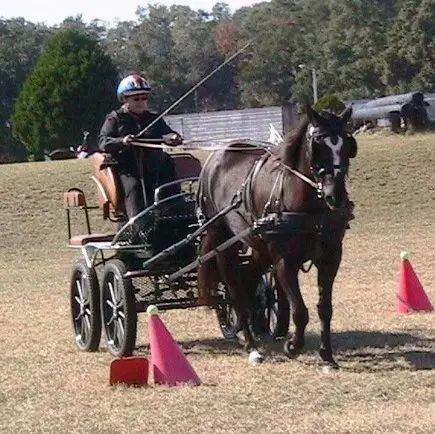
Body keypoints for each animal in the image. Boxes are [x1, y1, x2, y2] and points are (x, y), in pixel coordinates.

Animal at [198, 106, 358, 370]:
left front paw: (327, 356)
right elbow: (300, 311)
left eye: (348, 144)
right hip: (222, 241)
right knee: (234, 289)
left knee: (247, 278)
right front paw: (293, 346)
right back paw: (251, 346)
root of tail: (214, 158)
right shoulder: (284, 261)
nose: (335, 196)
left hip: (259, 247)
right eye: (317, 144)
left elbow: (325, 308)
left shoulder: (331, 257)